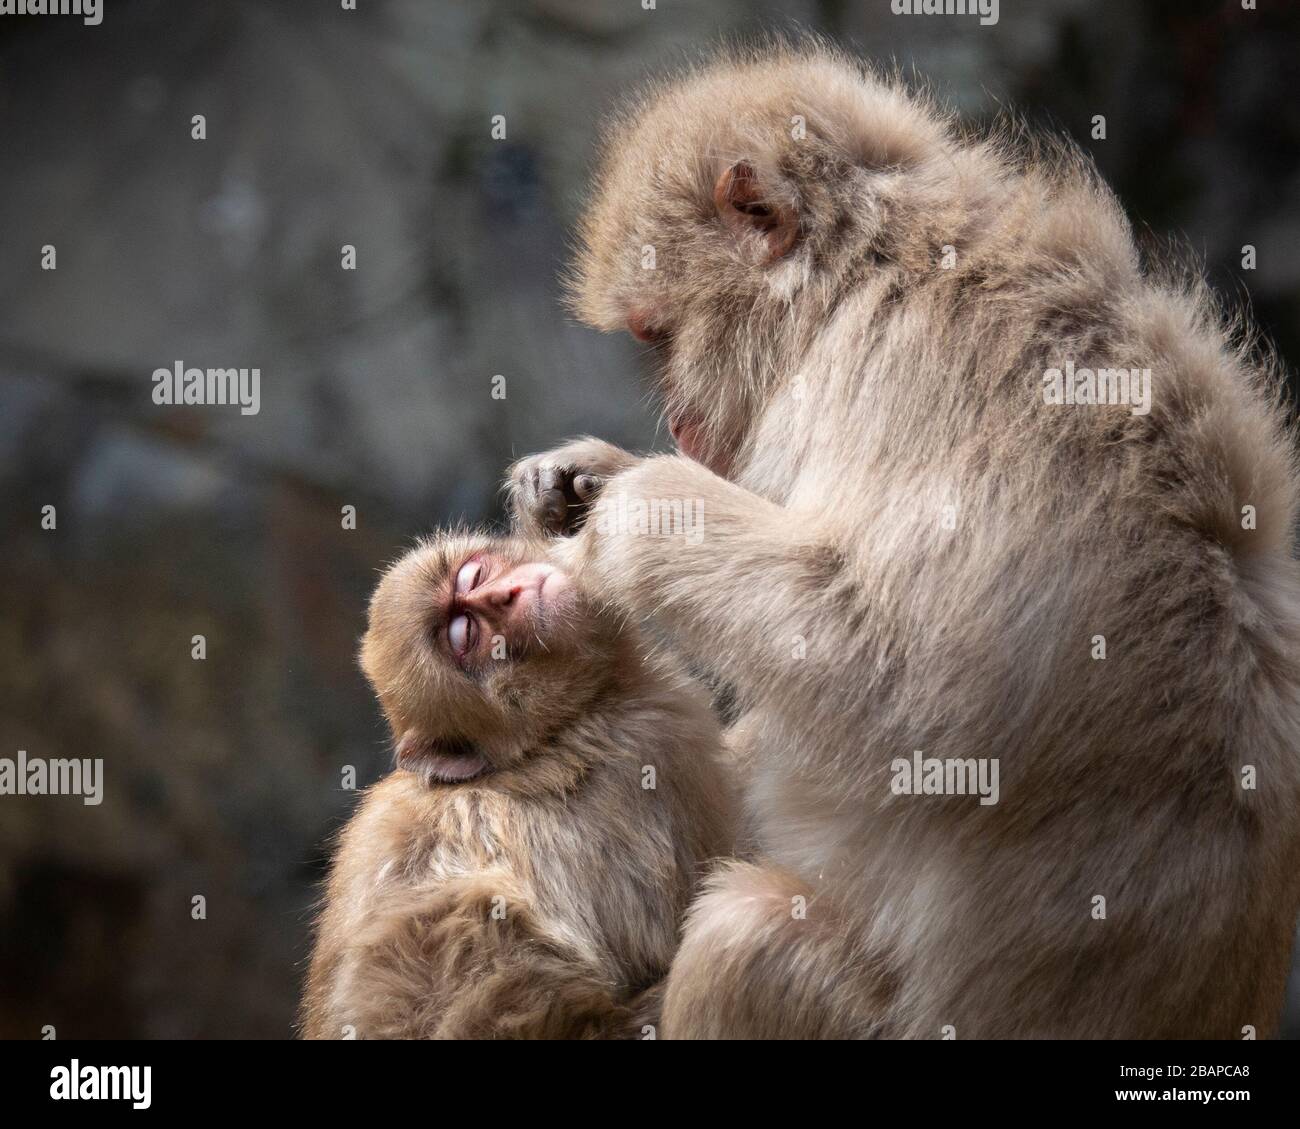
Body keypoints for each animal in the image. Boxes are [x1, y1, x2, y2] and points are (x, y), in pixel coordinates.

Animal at [511, 41, 1300, 1038]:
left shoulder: (891, 365)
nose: (679, 422)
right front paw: (576, 480)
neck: (876, 266)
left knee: (746, 937)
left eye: (657, 338)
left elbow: (903, 685)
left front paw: (639, 508)